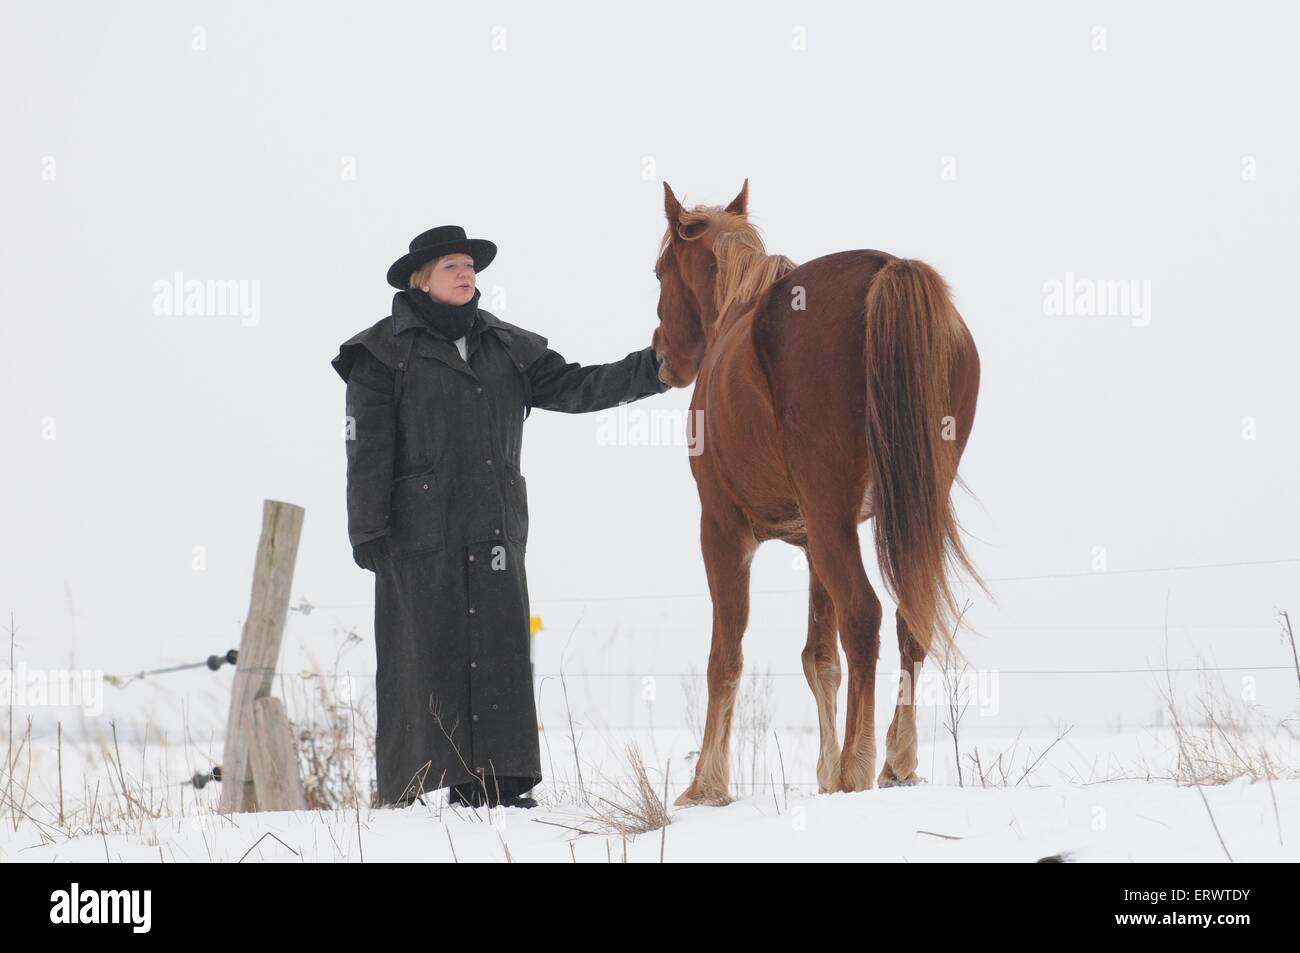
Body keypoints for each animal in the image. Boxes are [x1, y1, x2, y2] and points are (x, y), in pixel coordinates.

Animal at [650, 180, 985, 806]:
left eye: (659, 272)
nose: (661, 356)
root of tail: (888, 271)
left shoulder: (722, 528)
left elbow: (724, 656)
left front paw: (707, 784)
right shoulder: (811, 542)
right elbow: (819, 659)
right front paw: (825, 773)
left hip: (828, 521)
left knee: (865, 615)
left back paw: (859, 765)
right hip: (896, 518)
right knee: (909, 618)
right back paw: (894, 762)